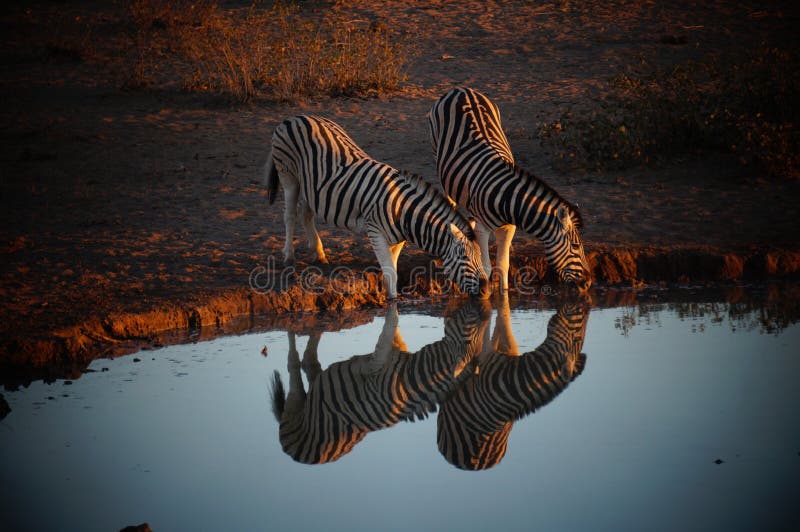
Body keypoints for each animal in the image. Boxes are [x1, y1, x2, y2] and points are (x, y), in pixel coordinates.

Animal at [264, 114, 489, 299]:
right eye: (464, 257)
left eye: (480, 256)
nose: (487, 289)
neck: (405, 213)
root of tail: (294, 117)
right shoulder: (375, 232)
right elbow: (390, 273)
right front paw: (391, 303)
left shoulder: (398, 240)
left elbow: (393, 270)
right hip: (289, 176)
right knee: (290, 215)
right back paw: (289, 257)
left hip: (311, 185)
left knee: (305, 213)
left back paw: (318, 252)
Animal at [270, 301, 490, 464]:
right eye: (470, 336)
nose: (484, 311)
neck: (408, 380)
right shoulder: (374, 366)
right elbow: (387, 331)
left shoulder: (394, 352)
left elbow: (393, 329)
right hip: (295, 407)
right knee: (294, 367)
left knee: (310, 363)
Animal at [429, 87, 592, 293]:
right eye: (576, 246)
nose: (588, 283)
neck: (505, 197)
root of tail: (461, 89)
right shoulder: (484, 229)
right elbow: (486, 266)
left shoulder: (509, 228)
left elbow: (503, 264)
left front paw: (504, 294)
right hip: (437, 151)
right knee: (448, 195)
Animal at [437, 297, 589, 470]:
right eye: (578, 338)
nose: (586, 304)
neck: (509, 381)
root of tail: (474, 466)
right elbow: (496, 318)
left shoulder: (495, 351)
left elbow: (498, 318)